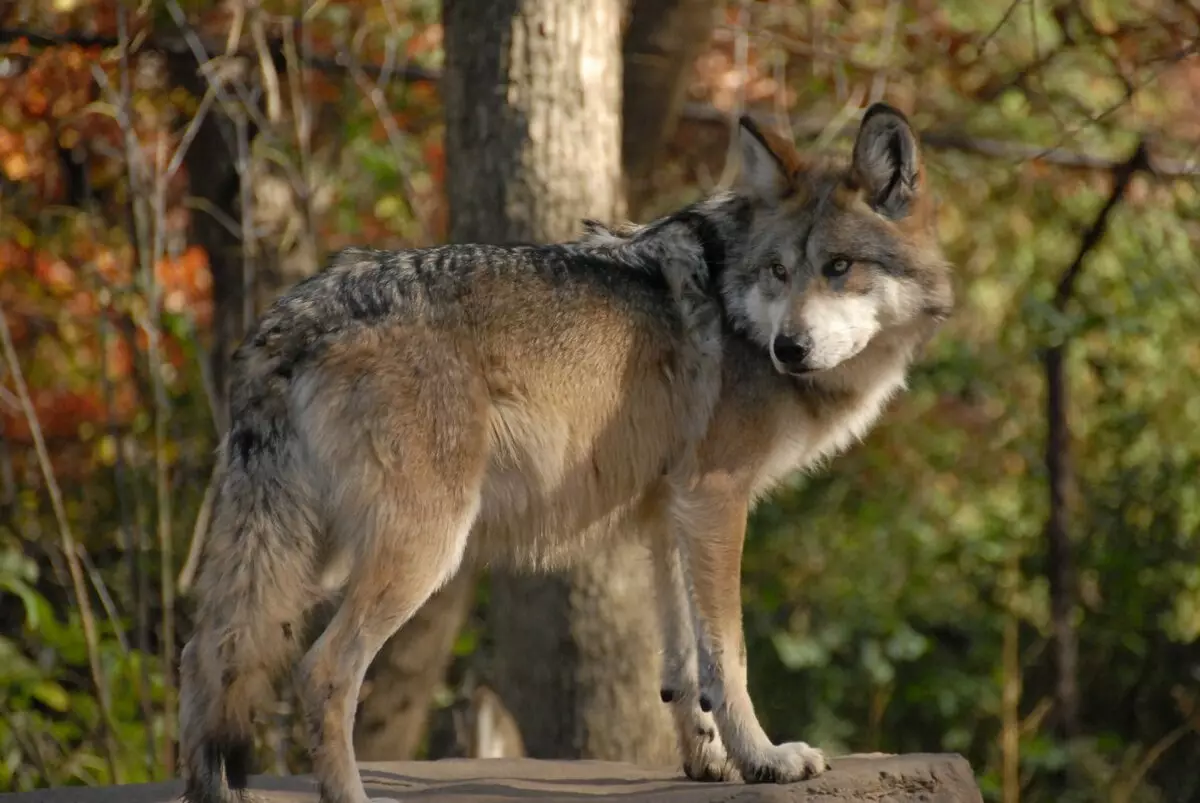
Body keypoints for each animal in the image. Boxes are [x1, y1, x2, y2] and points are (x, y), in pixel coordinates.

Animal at [177, 102, 955, 801]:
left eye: (839, 266)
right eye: (779, 272)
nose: (787, 348)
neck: (735, 298)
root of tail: (290, 318)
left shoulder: (668, 512)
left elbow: (683, 666)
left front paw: (709, 763)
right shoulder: (716, 498)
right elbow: (726, 656)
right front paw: (764, 759)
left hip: (306, 558)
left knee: (203, 657)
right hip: (418, 552)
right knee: (322, 673)